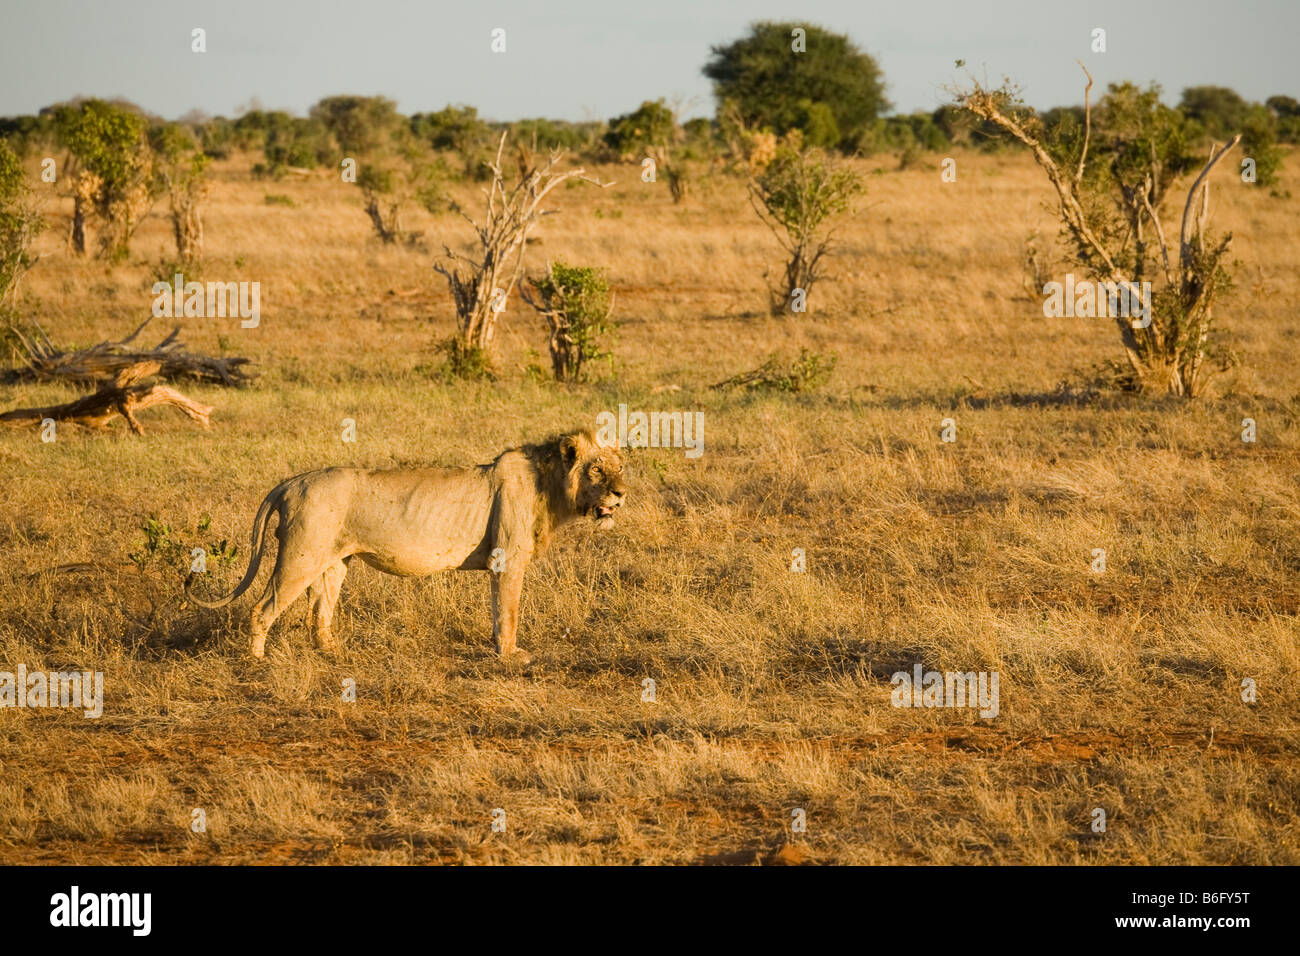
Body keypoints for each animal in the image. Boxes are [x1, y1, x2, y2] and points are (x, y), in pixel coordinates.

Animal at [185, 429, 626, 662]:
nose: (621, 493)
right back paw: (256, 661)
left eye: (620, 468)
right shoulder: (508, 560)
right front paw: (510, 655)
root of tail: (292, 481)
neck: (551, 487)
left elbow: (501, 610)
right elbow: (508, 611)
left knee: (318, 613)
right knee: (263, 608)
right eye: (596, 470)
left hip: (333, 562)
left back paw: (333, 652)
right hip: (300, 556)